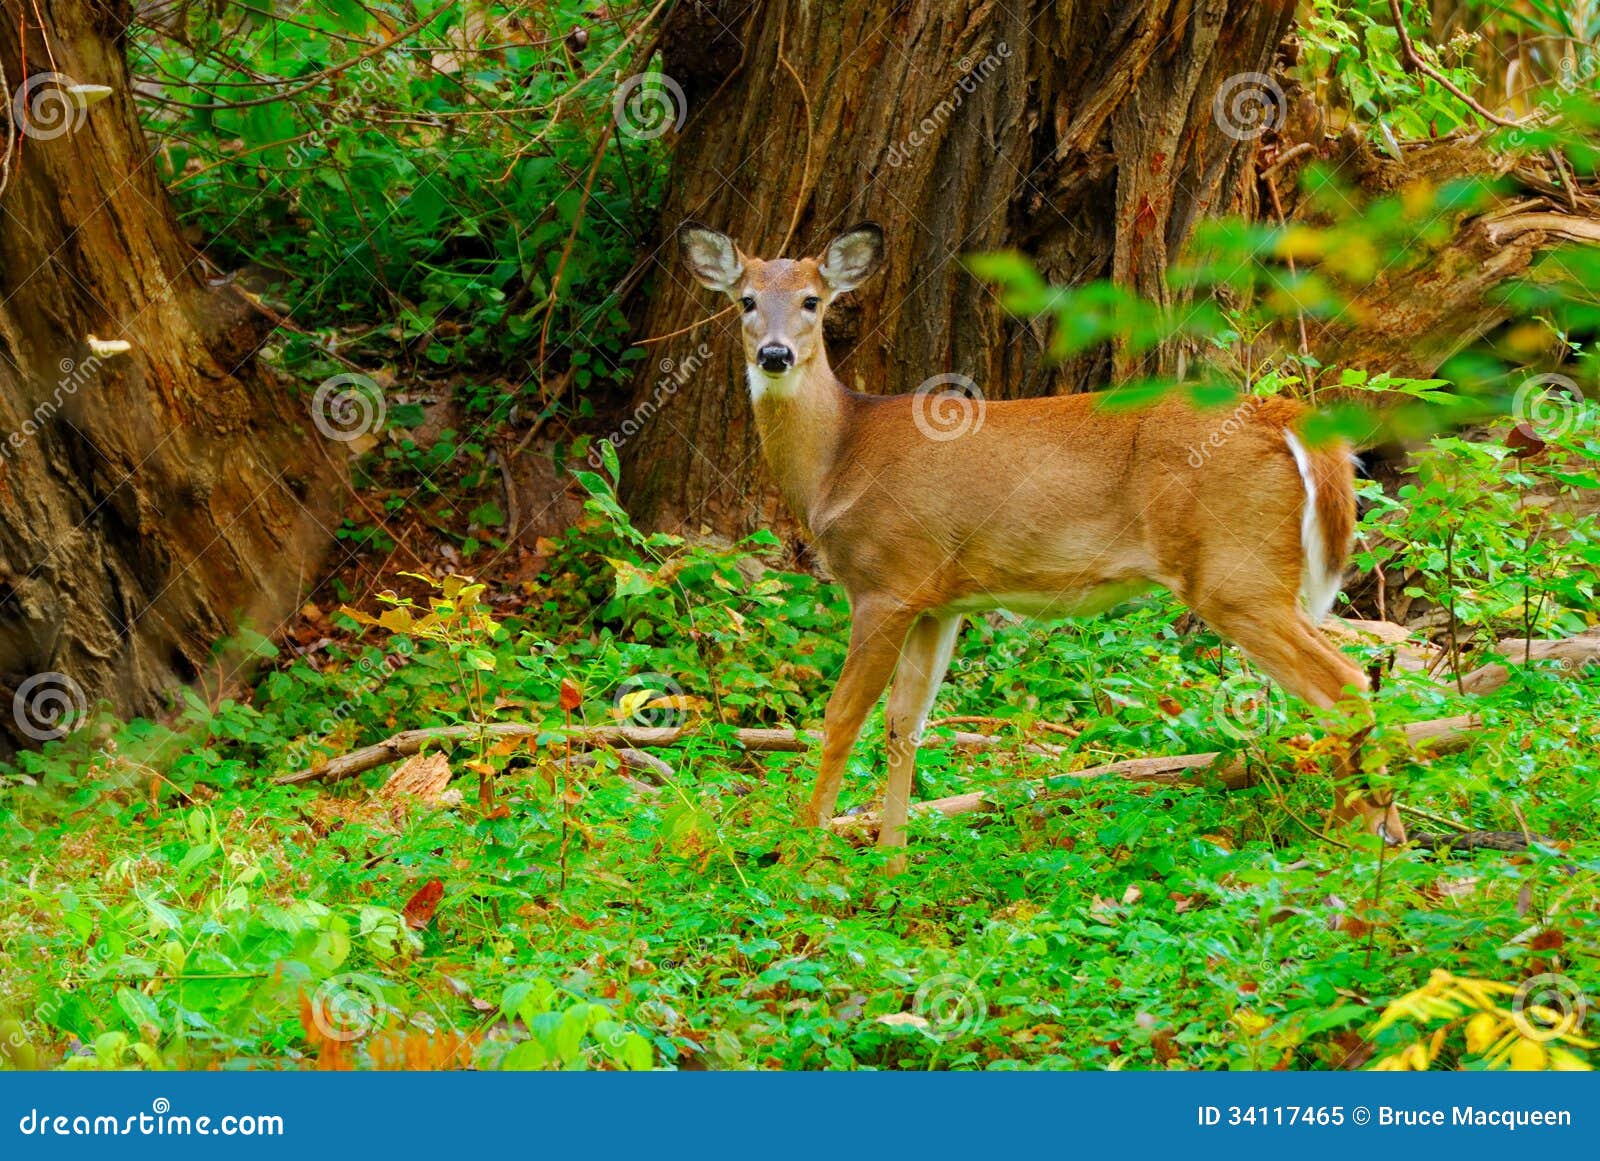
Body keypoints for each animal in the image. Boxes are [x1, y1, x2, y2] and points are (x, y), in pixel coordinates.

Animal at [678, 219, 1404, 872]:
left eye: (812, 300)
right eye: (745, 300)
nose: (775, 355)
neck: (838, 455)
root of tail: (1286, 418)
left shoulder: (884, 582)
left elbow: (840, 719)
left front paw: (803, 856)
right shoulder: (937, 598)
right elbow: (906, 722)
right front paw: (892, 862)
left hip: (1236, 574)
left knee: (1345, 682)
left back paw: (1351, 841)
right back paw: (1389, 838)